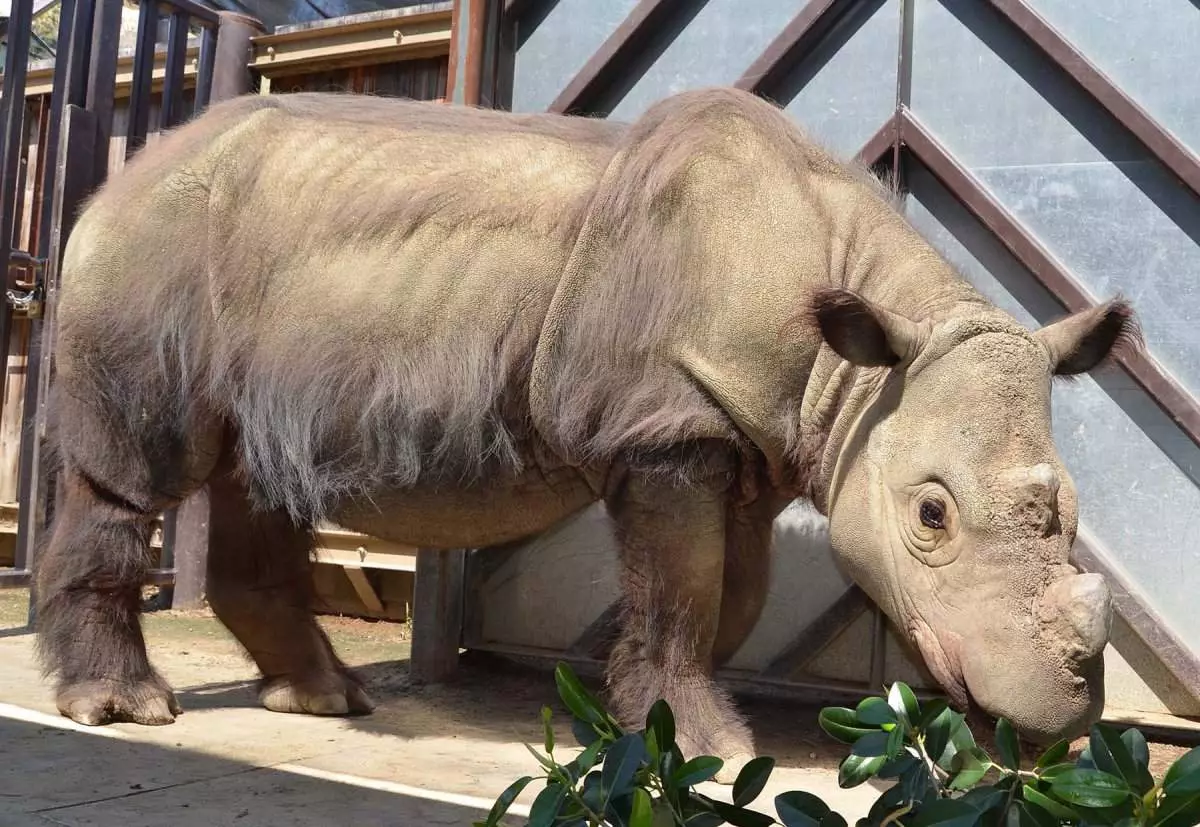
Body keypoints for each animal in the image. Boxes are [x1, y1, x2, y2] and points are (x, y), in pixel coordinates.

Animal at [37, 87, 1137, 782]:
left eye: (1076, 511)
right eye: (932, 515)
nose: (1058, 717)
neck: (858, 370)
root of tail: (113, 180)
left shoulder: (739, 437)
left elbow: (726, 594)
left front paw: (630, 712)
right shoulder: (668, 430)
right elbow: (690, 591)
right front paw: (708, 745)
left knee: (253, 466)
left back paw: (324, 700)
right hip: (151, 245)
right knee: (144, 470)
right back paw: (124, 710)